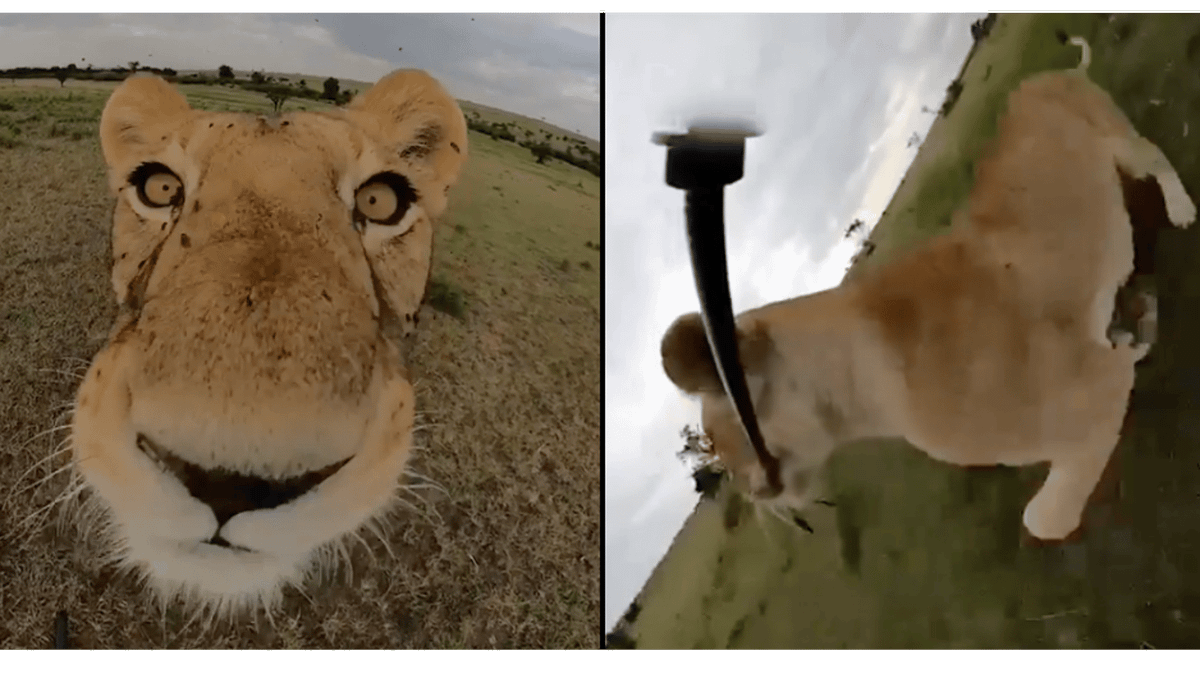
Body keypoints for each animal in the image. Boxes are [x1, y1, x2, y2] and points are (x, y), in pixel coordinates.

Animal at [660, 35, 1195, 542]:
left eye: (719, 442)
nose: (746, 493)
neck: (864, 387)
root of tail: (1046, 75)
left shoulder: (1095, 395)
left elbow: (1042, 519)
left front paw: (1140, 325)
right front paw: (1133, 323)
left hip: (1117, 138)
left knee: (1155, 157)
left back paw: (1181, 209)